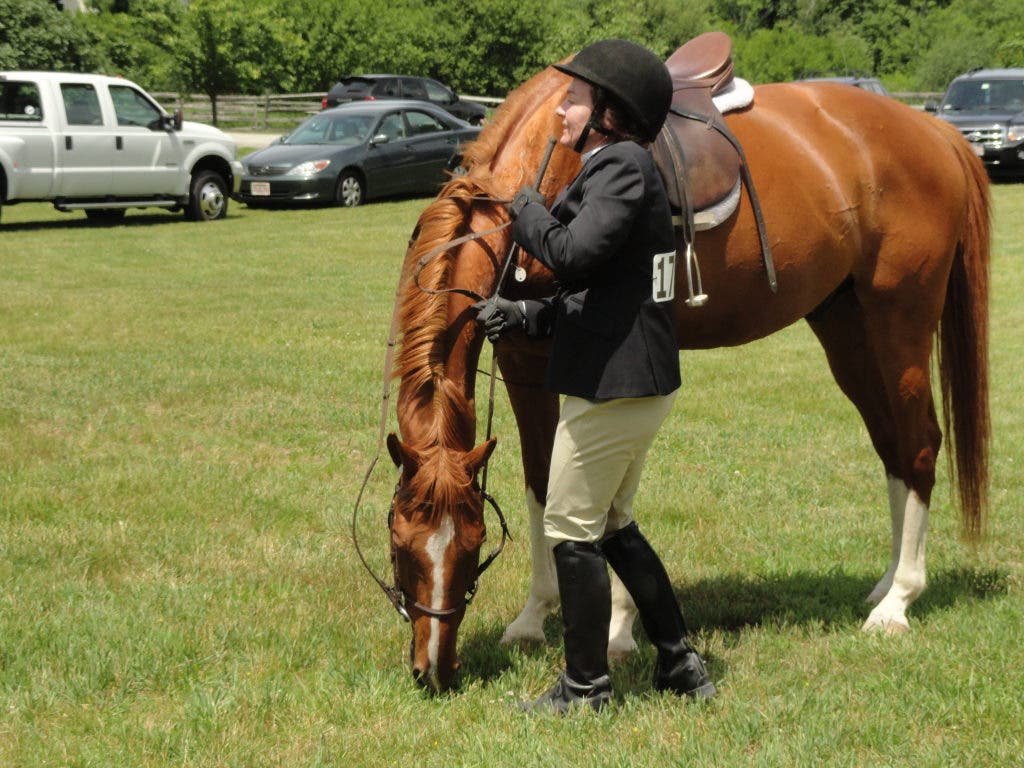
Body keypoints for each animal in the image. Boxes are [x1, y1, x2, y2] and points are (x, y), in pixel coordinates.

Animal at [382, 61, 991, 692]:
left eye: (473, 542)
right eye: (400, 541)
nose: (433, 669)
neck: (551, 165)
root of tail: (935, 133)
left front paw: (616, 627)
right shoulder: (526, 366)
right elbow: (543, 487)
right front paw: (534, 618)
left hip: (900, 325)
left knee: (919, 445)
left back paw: (899, 601)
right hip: (848, 328)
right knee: (892, 446)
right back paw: (884, 583)